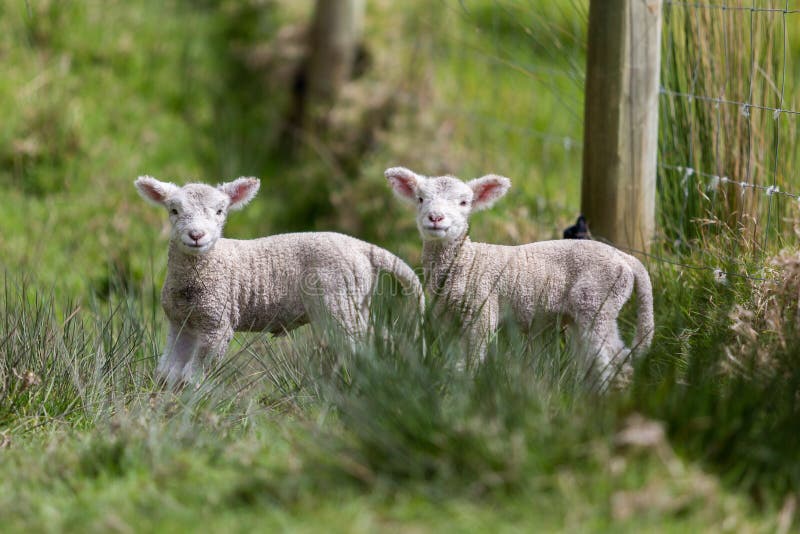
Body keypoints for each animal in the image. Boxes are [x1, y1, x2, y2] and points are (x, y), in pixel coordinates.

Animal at [135, 175, 423, 386]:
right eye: (173, 210)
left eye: (220, 211)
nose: (196, 235)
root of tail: (364, 247)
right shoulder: (181, 322)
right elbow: (168, 372)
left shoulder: (217, 324)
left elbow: (192, 376)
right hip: (357, 302)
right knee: (378, 338)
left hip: (340, 303)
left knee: (359, 346)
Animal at [385, 166, 654, 384]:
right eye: (420, 199)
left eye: (464, 203)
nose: (435, 218)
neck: (466, 261)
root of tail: (626, 259)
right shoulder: (446, 318)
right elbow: (456, 360)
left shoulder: (482, 309)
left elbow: (474, 358)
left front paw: (467, 387)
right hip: (588, 313)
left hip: (598, 301)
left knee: (614, 359)